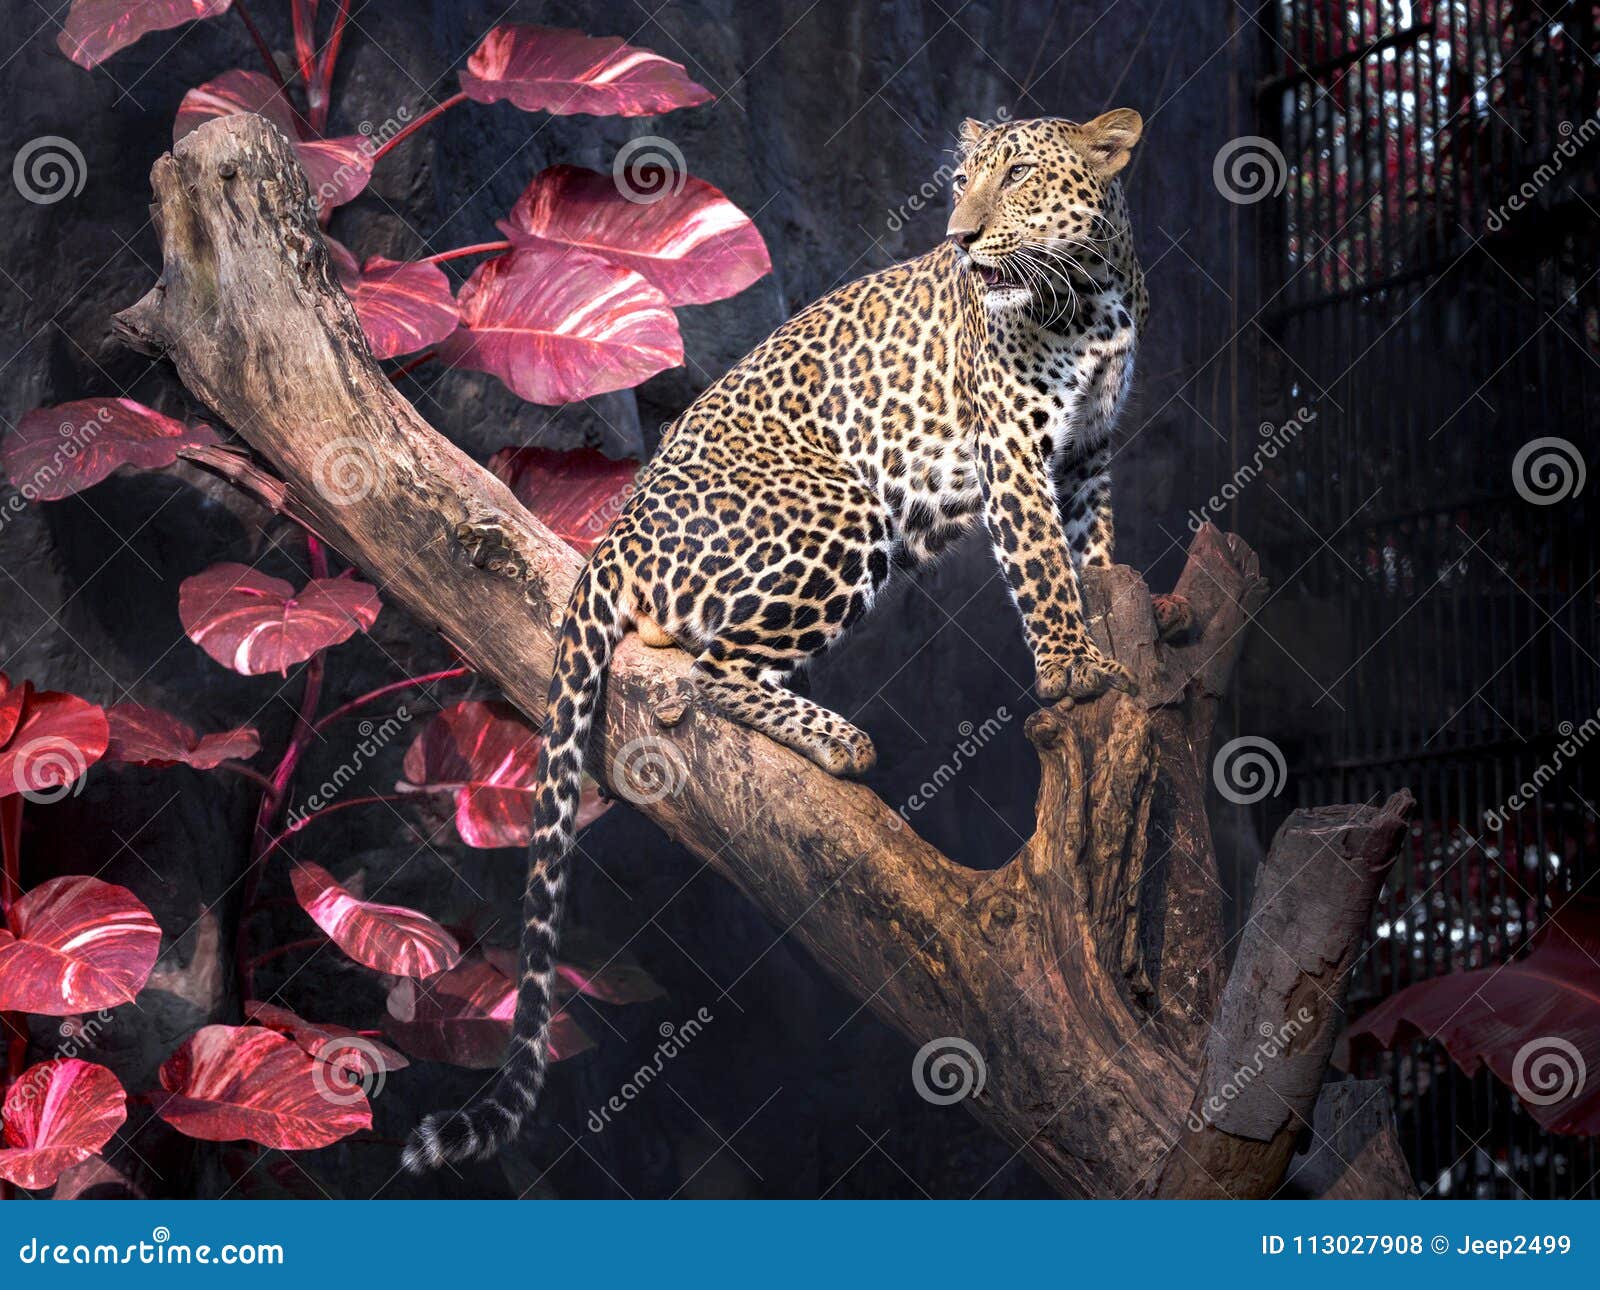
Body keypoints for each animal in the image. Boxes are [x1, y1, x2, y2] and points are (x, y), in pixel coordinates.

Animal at [404, 109, 1188, 1173]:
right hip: (844, 508)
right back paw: (837, 739)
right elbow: (1038, 565)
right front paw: (1072, 668)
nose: (960, 239)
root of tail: (607, 537)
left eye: (1019, 175)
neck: (1091, 296)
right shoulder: (1013, 448)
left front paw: (1118, 611)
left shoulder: (1091, 455)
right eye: (964, 182)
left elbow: (1091, 556)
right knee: (707, 673)